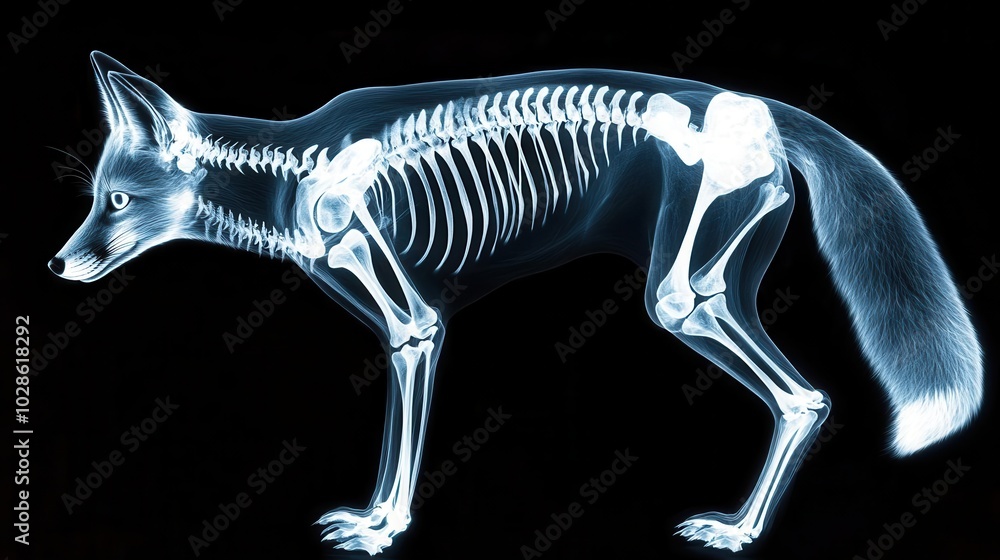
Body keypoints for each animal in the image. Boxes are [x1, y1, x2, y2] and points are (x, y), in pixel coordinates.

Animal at [50, 51, 982, 554]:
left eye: (119, 201)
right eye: (96, 196)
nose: (60, 263)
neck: (285, 177)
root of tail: (754, 106)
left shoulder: (403, 306)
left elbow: (412, 358)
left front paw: (380, 531)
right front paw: (374, 521)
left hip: (683, 280)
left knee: (777, 376)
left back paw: (735, 536)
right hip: (728, 263)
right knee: (800, 391)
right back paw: (741, 530)